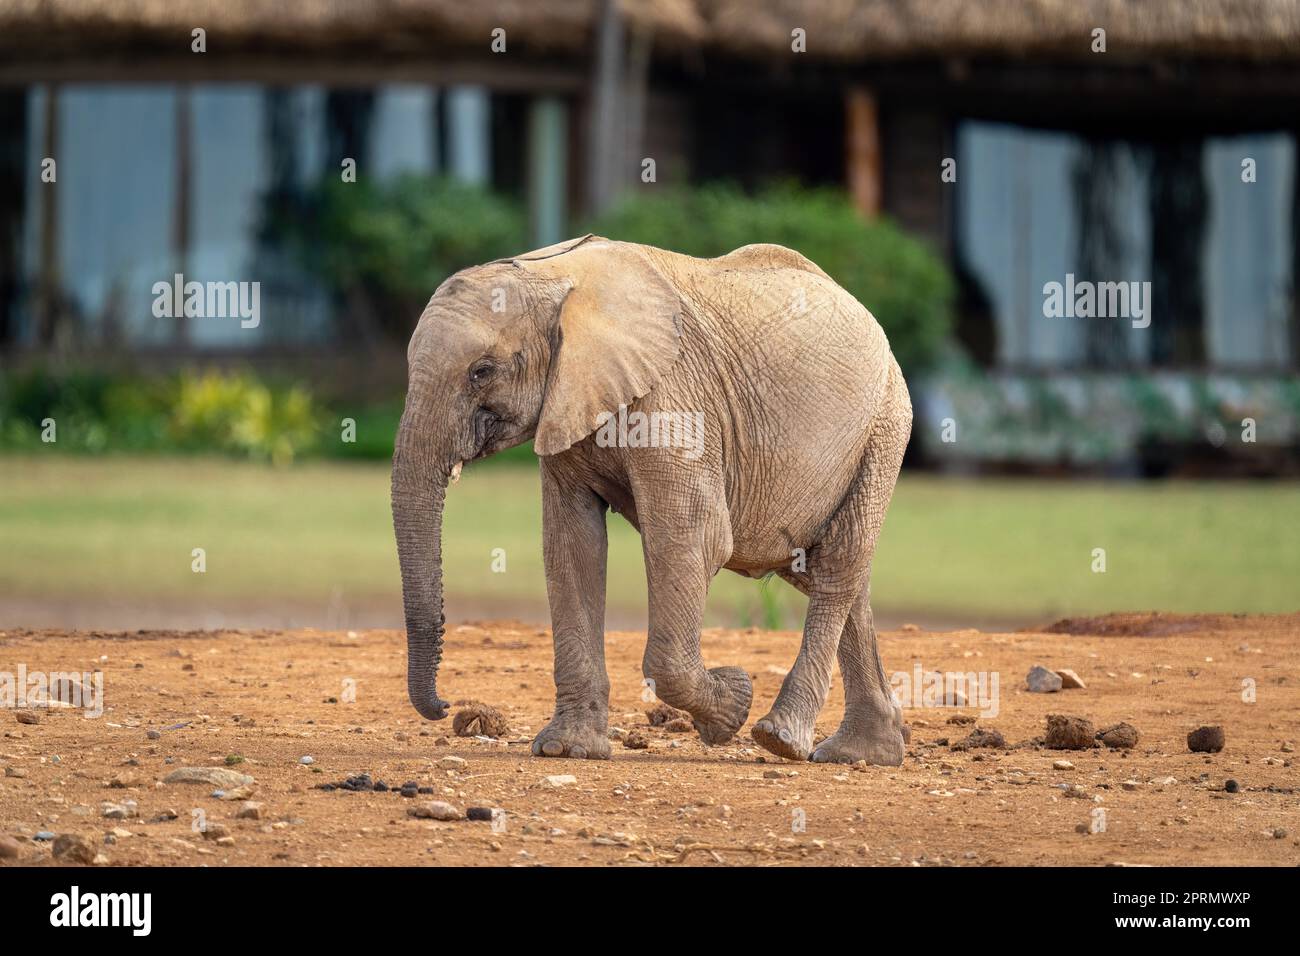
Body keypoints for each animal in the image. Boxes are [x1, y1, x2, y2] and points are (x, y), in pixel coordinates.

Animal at [391, 234, 912, 765]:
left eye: (482, 371)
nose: (445, 704)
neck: (552, 275)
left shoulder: (675, 395)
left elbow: (693, 538)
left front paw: (732, 704)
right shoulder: (568, 404)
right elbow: (572, 546)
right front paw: (567, 750)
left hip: (884, 425)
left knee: (838, 564)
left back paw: (781, 738)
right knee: (827, 573)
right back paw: (866, 752)